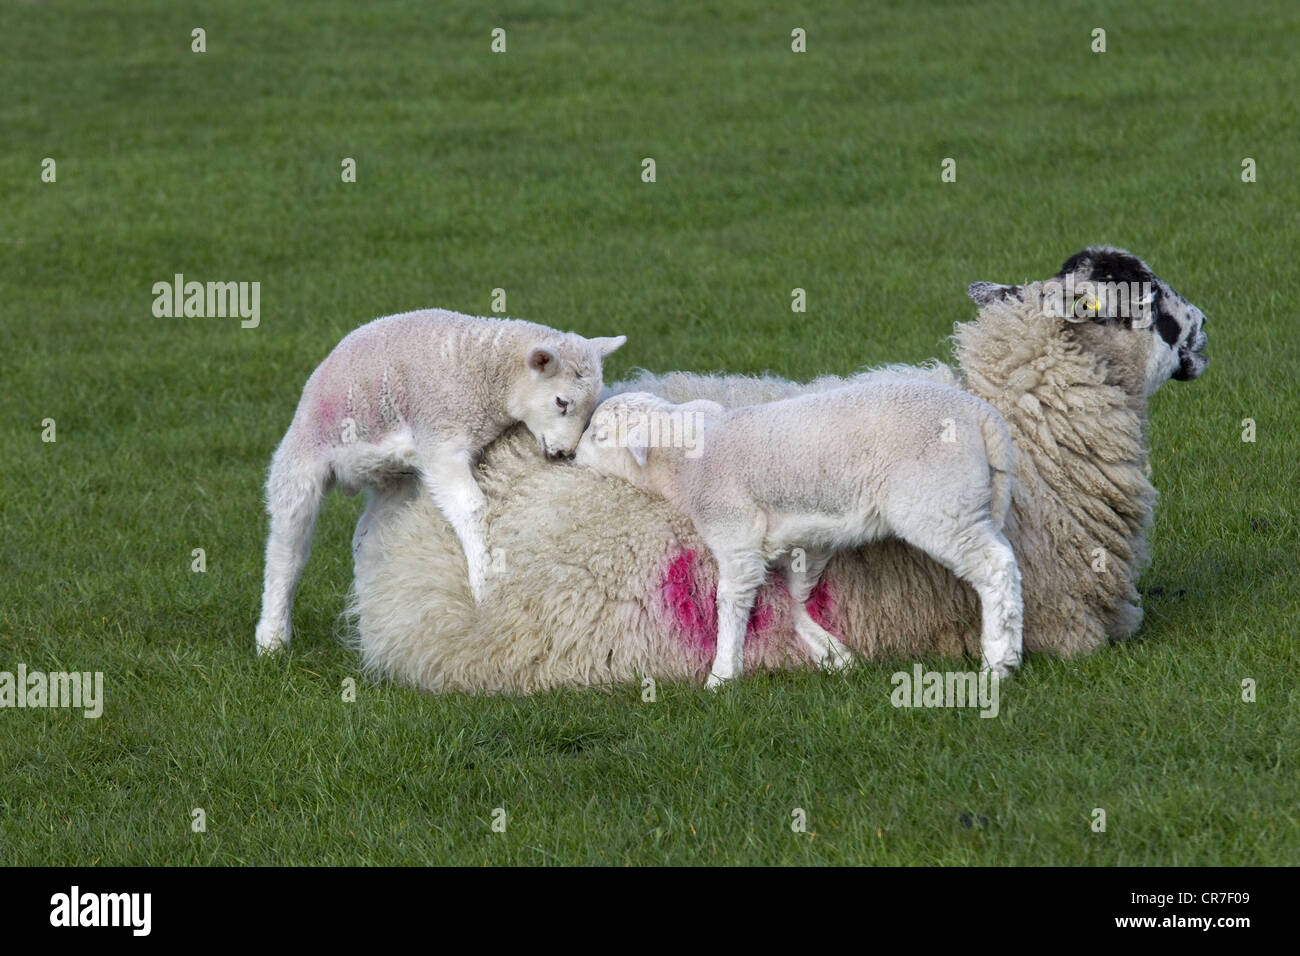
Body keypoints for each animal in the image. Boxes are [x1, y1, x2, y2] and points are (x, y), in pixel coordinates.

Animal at [254, 308, 625, 654]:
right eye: (561, 402)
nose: (564, 453)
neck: (488, 374)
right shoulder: (441, 444)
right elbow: (472, 507)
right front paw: (483, 583)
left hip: (394, 479)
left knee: (367, 537)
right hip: (301, 457)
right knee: (287, 549)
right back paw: (272, 637)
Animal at [572, 383, 1023, 686]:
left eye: (598, 435)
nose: (571, 457)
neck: (687, 461)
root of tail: (981, 414)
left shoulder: (733, 531)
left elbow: (731, 600)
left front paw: (722, 675)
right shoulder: (804, 539)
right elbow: (795, 598)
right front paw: (833, 654)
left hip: (937, 502)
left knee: (996, 565)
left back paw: (997, 662)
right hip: (965, 501)